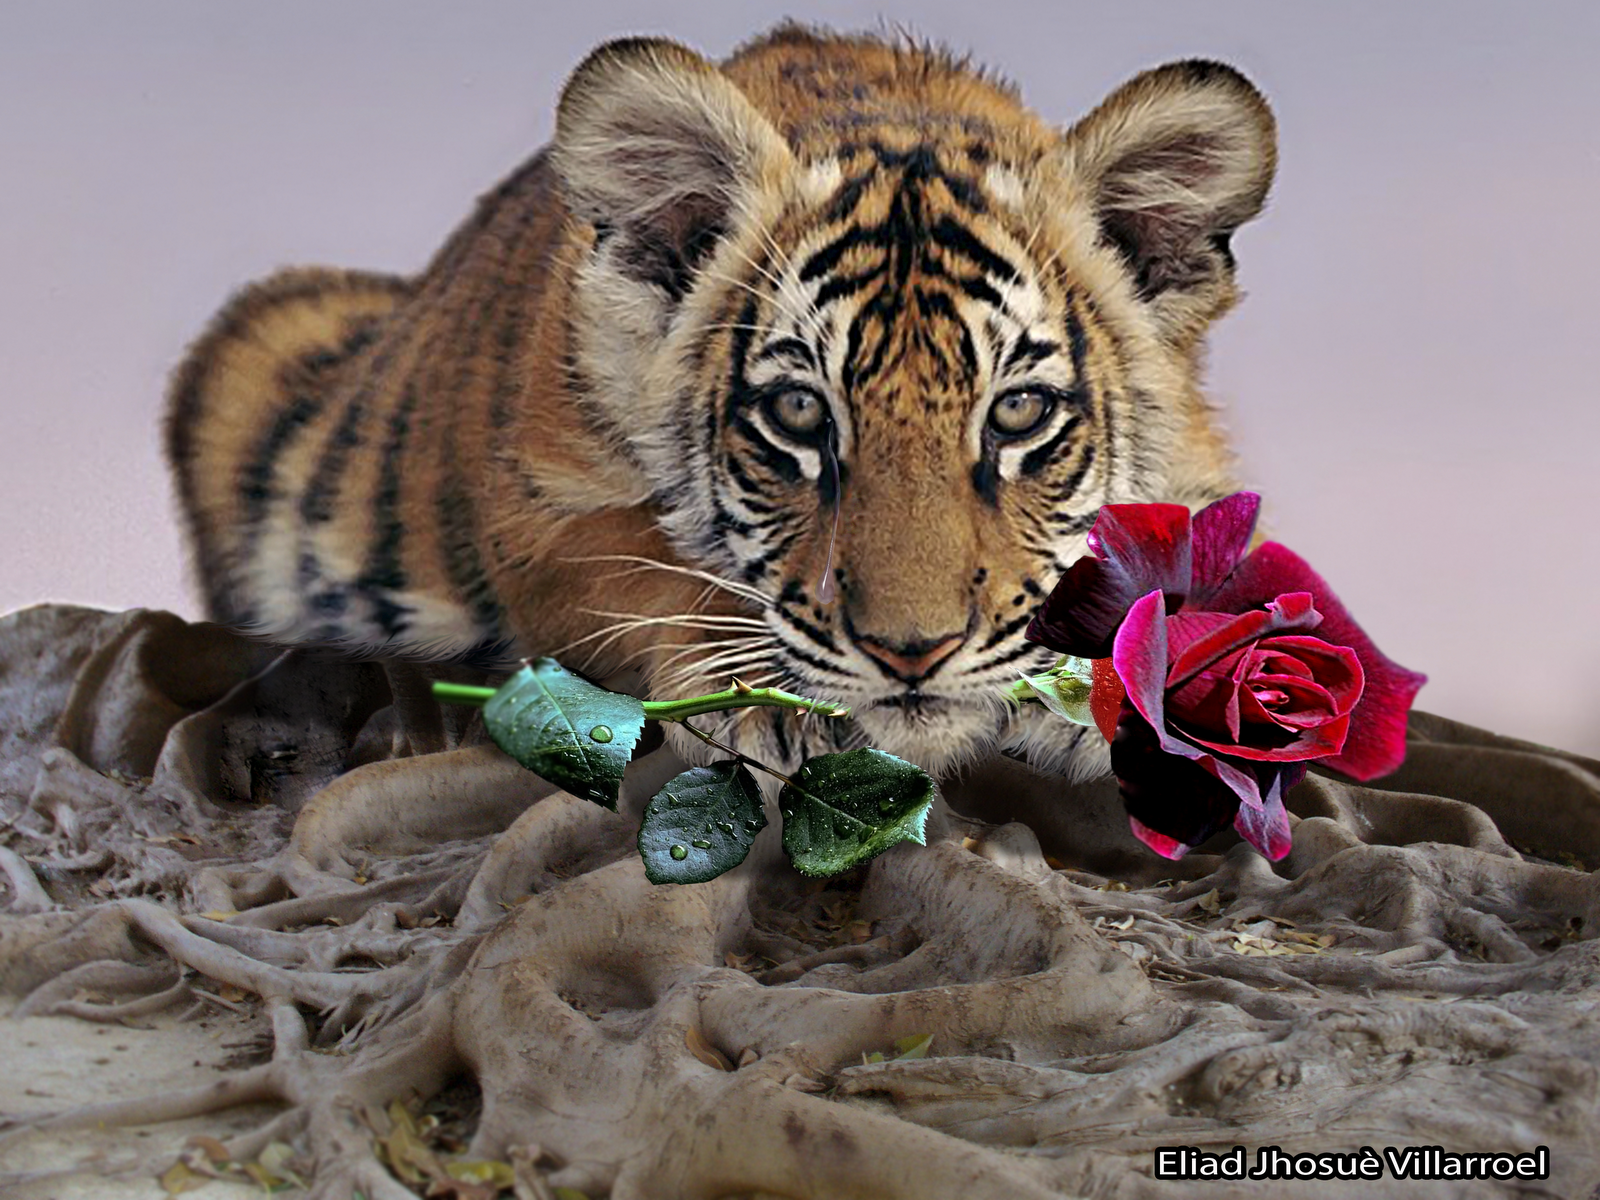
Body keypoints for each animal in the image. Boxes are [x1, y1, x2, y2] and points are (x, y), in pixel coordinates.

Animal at [164, 24, 1276, 785]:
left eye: (1014, 417)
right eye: (798, 416)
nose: (910, 654)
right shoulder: (542, 514)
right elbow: (654, 572)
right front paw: (772, 702)